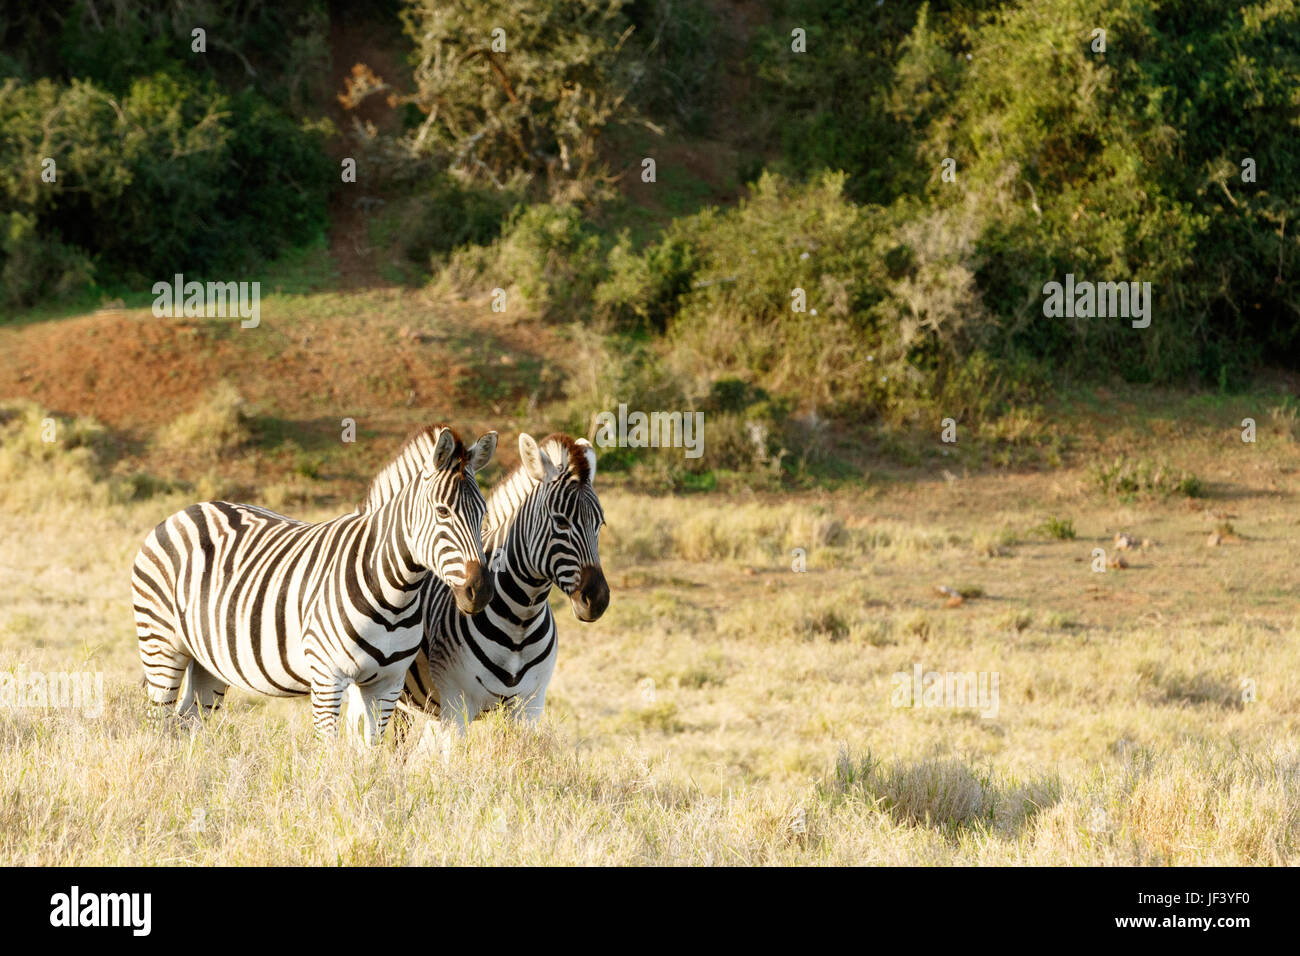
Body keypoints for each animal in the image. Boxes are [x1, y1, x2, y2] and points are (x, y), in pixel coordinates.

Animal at [130, 424, 497, 743]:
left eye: (482, 514)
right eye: (443, 512)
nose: (480, 592)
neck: (394, 588)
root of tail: (185, 512)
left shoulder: (387, 684)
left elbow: (371, 754)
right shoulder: (327, 677)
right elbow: (330, 752)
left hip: (208, 660)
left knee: (187, 721)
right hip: (160, 644)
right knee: (158, 724)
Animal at [395, 432, 609, 741]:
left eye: (600, 524)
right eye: (560, 521)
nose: (598, 600)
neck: (520, 621)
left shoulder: (529, 707)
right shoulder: (456, 704)